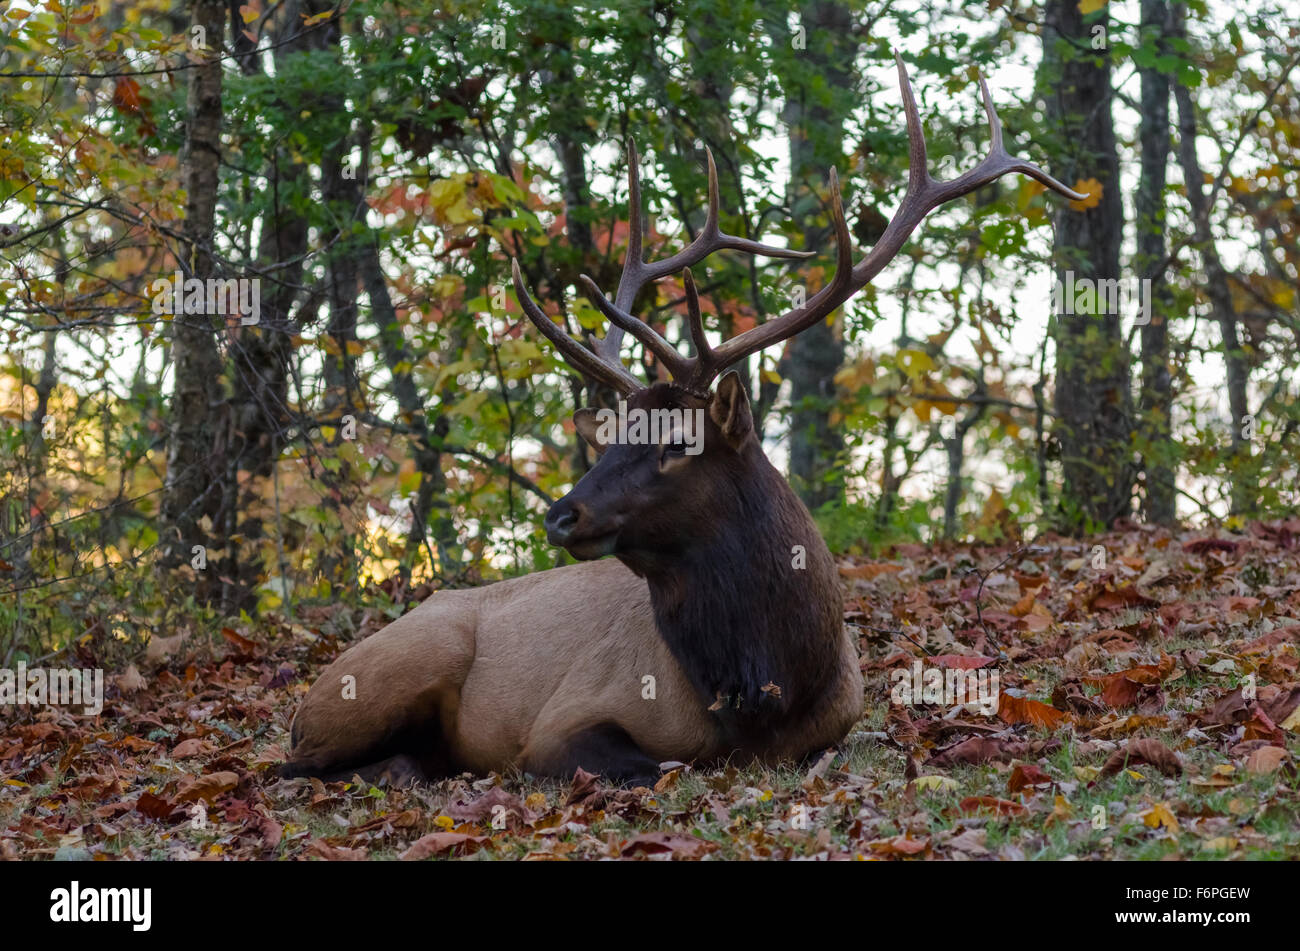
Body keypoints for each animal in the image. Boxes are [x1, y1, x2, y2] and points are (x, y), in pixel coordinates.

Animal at [283, 56, 1084, 787]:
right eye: (609, 438)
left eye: (675, 443)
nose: (562, 514)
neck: (767, 690)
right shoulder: (559, 721)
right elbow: (660, 762)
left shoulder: (842, 721)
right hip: (401, 665)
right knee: (296, 764)